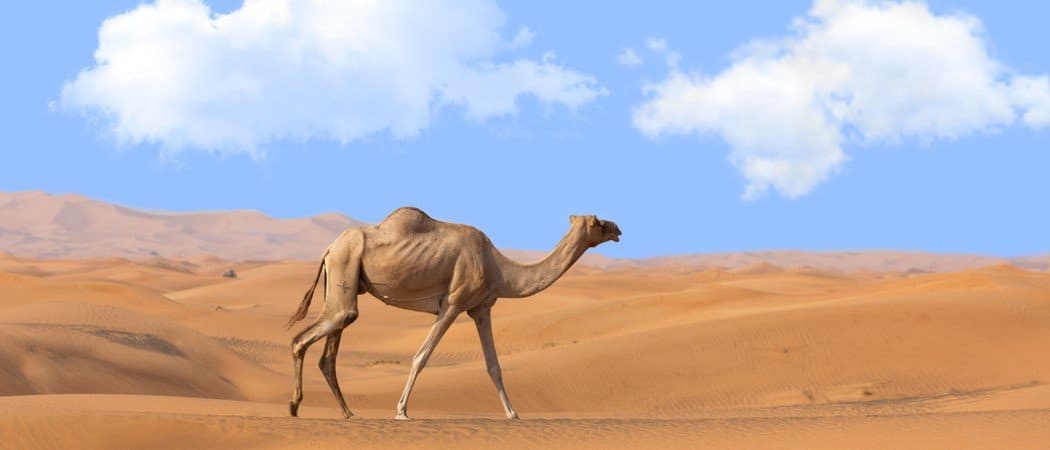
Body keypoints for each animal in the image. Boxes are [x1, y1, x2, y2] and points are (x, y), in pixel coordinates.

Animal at [286, 207, 621, 420]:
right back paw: (294, 405)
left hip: (346, 283)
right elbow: (421, 356)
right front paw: (401, 411)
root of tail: (329, 248)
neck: (500, 269)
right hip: (344, 271)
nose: (618, 228)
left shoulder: (480, 308)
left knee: (329, 352)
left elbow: (494, 365)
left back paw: (347, 412)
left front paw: (513, 413)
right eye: (599, 223)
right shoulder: (453, 303)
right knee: (303, 338)